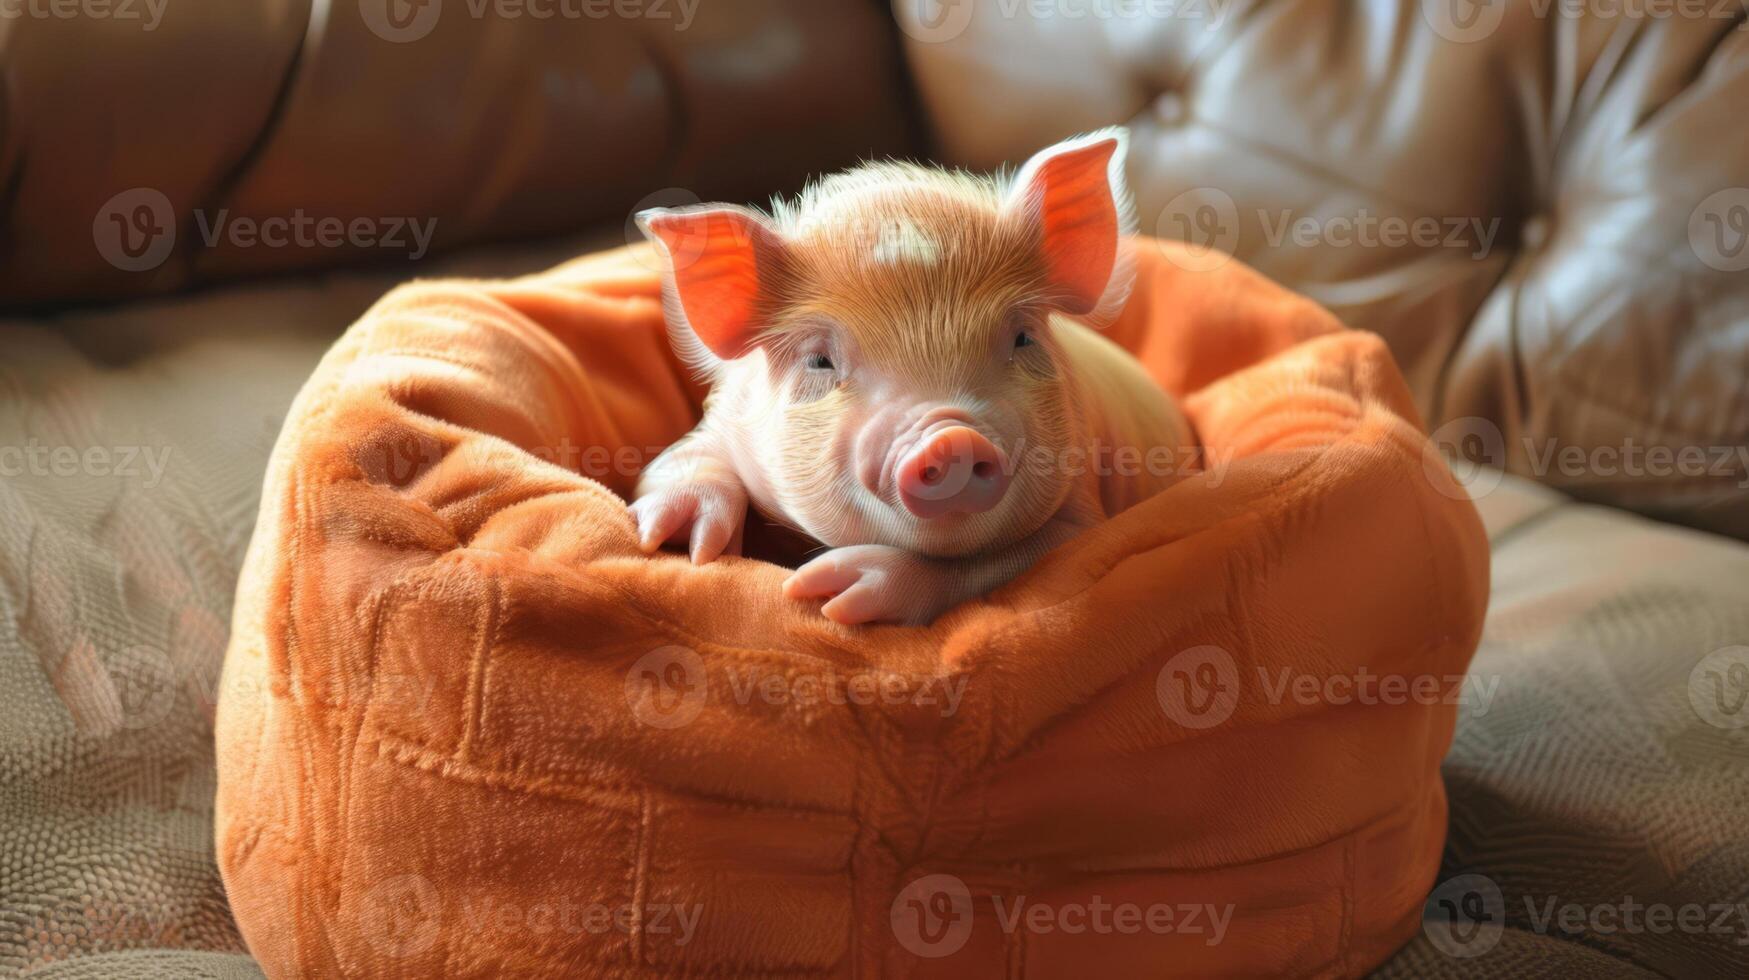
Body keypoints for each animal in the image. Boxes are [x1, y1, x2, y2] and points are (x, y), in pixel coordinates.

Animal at [630, 128, 1192, 625]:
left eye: (1022, 338)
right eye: (819, 361)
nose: (951, 436)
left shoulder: (1082, 511)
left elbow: (1030, 556)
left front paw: (824, 593)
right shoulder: (725, 424)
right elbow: (672, 464)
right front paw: (679, 544)